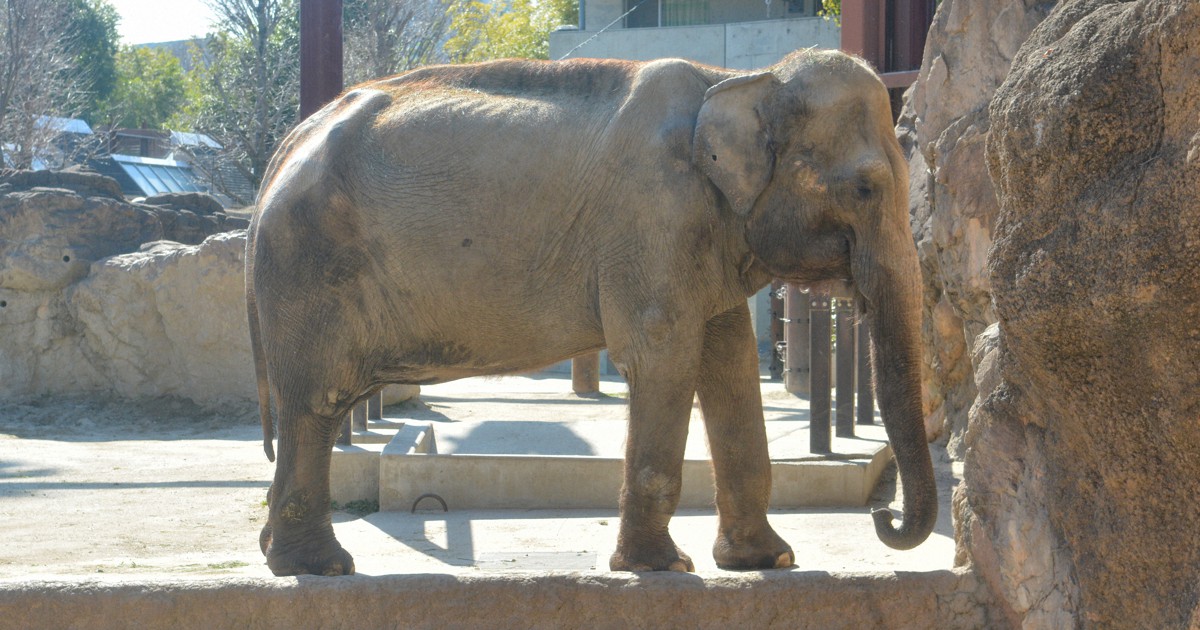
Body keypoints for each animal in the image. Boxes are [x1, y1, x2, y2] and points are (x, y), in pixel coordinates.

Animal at [246, 48, 936, 577]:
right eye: (867, 188)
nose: (883, 515)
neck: (739, 79)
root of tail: (286, 145)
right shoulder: (654, 216)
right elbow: (664, 358)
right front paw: (662, 569)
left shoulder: (701, 233)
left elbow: (730, 362)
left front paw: (767, 563)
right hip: (307, 267)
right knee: (317, 403)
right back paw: (319, 568)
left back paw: (282, 555)